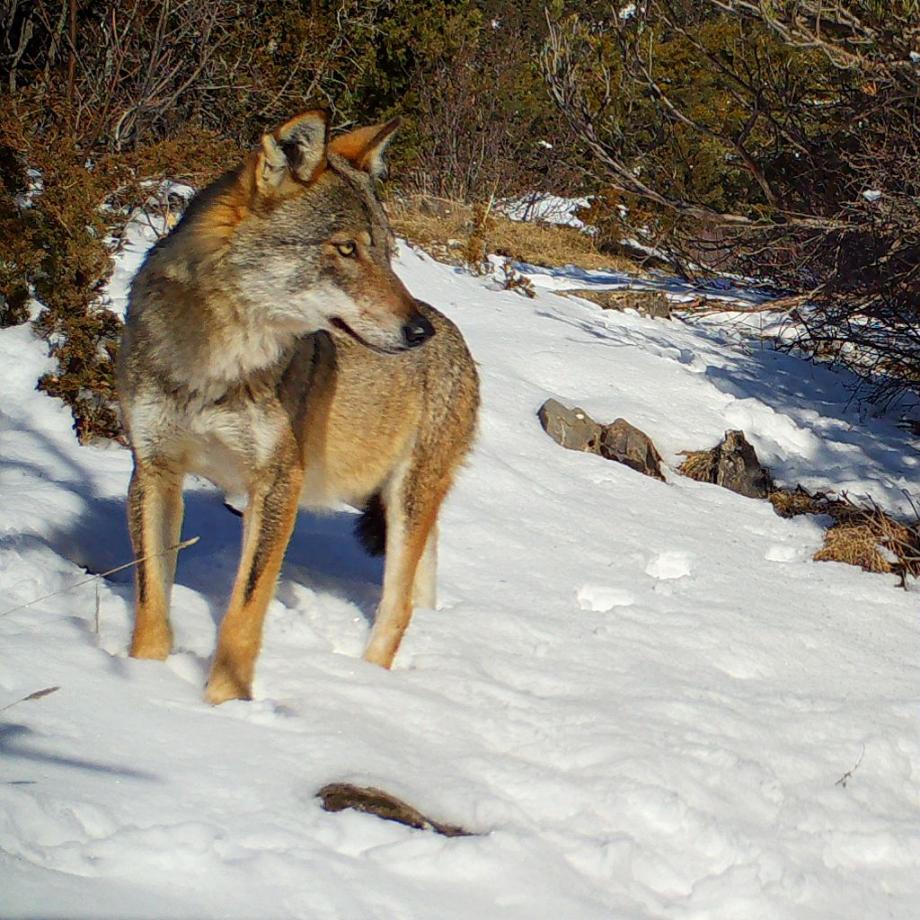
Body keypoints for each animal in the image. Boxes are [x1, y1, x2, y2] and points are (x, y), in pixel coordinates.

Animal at [118, 110, 479, 704]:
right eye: (347, 248)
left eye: (387, 251)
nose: (417, 332)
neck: (215, 365)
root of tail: (459, 340)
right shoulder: (153, 471)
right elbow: (152, 602)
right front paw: (142, 681)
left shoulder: (279, 484)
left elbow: (242, 615)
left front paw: (225, 706)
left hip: (401, 500)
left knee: (397, 605)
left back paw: (369, 682)